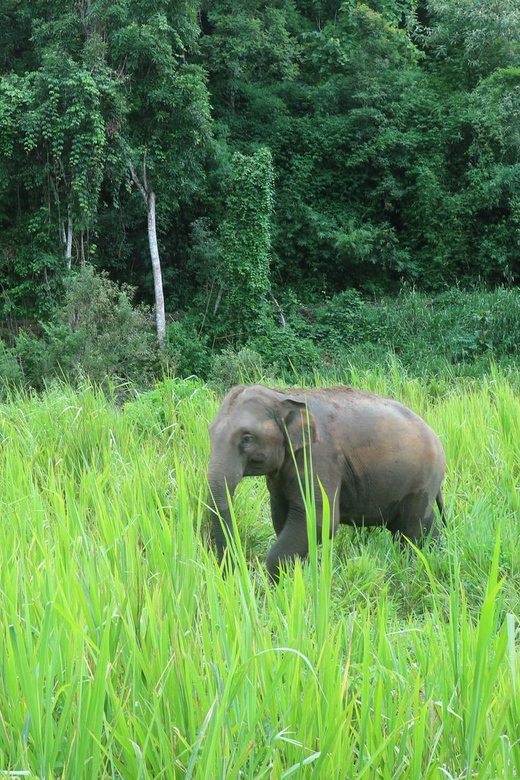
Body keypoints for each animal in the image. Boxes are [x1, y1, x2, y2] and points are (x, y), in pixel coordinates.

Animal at [208, 384, 446, 580]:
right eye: (210, 433)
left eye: (247, 438)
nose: (229, 576)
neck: (282, 395)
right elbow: (281, 517)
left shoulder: (320, 459)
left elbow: (320, 520)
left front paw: (278, 587)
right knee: (423, 525)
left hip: (422, 480)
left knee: (411, 531)